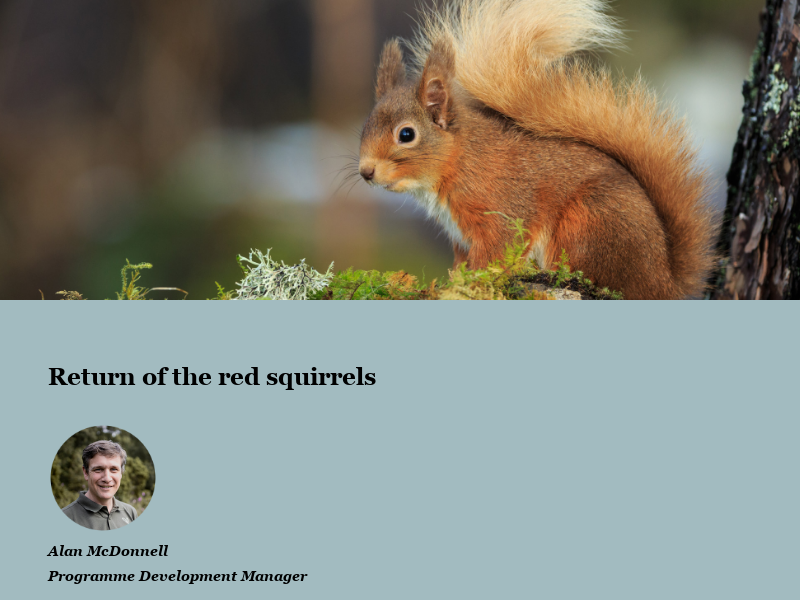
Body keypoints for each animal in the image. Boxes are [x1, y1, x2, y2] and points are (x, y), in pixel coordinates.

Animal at [357, 0, 720, 300]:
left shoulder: (502, 210)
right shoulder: (460, 236)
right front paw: (453, 282)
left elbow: (499, 251)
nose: (365, 172)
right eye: (365, 126)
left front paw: (474, 283)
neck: (459, 161)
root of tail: (663, 282)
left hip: (588, 222)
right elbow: (462, 264)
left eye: (406, 134)